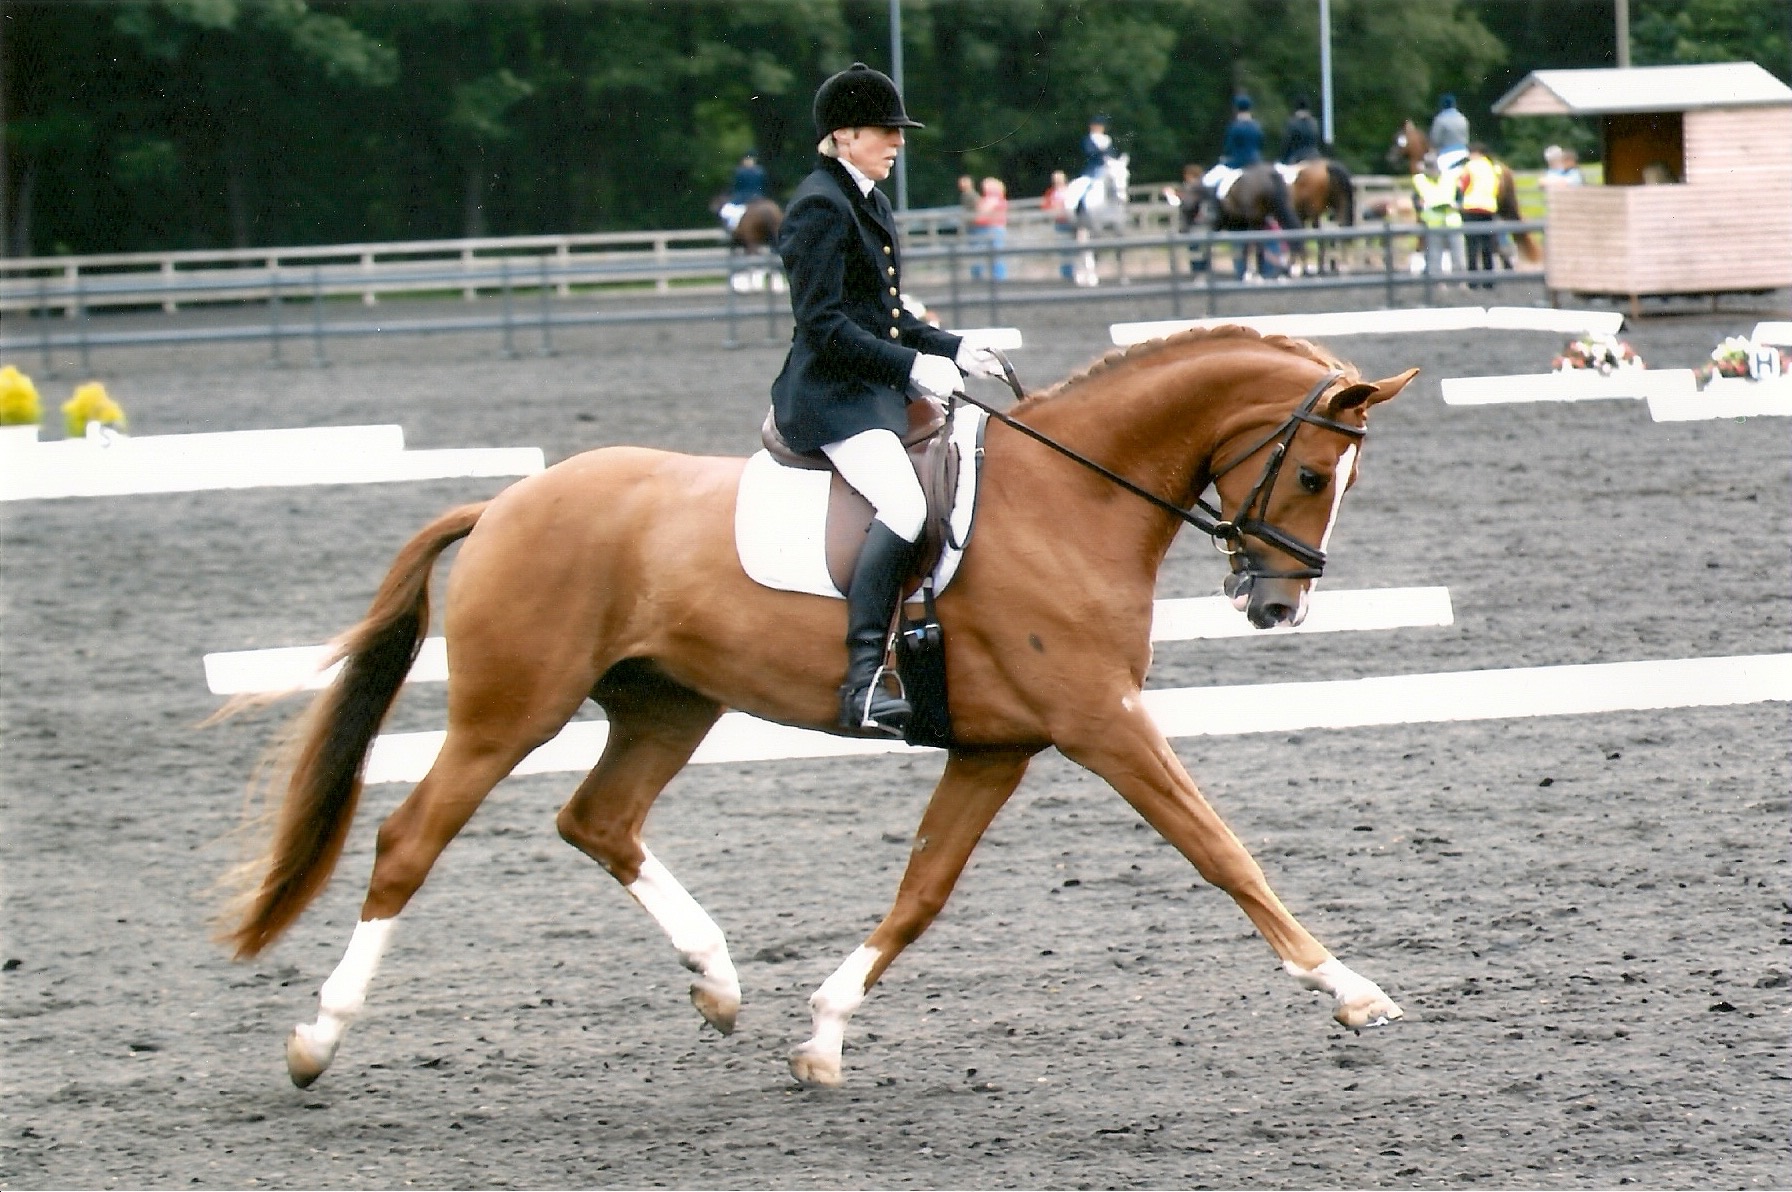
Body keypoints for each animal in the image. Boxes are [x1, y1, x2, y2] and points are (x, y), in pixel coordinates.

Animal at [219, 328, 1417, 1091]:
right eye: (1314, 475)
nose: (1276, 606)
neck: (1069, 499)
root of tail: (509, 499)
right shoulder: (1102, 722)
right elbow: (1220, 850)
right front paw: (1350, 989)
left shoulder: (998, 746)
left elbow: (922, 891)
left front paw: (825, 1039)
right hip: (508, 711)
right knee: (410, 839)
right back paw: (317, 1039)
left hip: (668, 705)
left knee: (598, 820)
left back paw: (716, 982)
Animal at [1062, 154, 1130, 287]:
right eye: (1112, 177)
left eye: (1126, 175)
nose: (1122, 198)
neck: (1108, 202)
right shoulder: (1097, 229)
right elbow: (1096, 253)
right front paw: (1093, 279)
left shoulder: (1119, 228)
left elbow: (1120, 252)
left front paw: (1124, 279)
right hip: (1076, 228)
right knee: (1078, 250)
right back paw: (1079, 278)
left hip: (1085, 229)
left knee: (1084, 249)